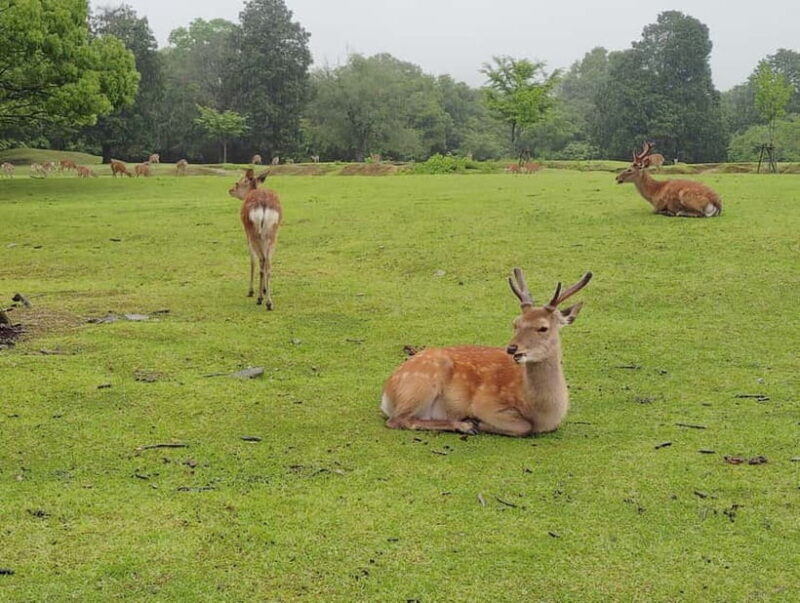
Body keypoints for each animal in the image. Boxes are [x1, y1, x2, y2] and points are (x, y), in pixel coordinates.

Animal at [228, 169, 283, 310]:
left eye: (238, 182)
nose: (230, 190)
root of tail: (263, 205)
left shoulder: (247, 234)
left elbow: (252, 260)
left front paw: (251, 291)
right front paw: (264, 289)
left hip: (254, 234)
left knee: (261, 260)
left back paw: (260, 299)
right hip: (272, 234)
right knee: (268, 264)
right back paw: (269, 301)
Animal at [381, 268, 592, 437]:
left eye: (543, 328)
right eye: (515, 323)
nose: (512, 348)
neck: (546, 412)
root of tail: (386, 394)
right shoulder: (486, 403)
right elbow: (523, 427)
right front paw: (477, 422)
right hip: (422, 382)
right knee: (399, 420)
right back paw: (464, 425)